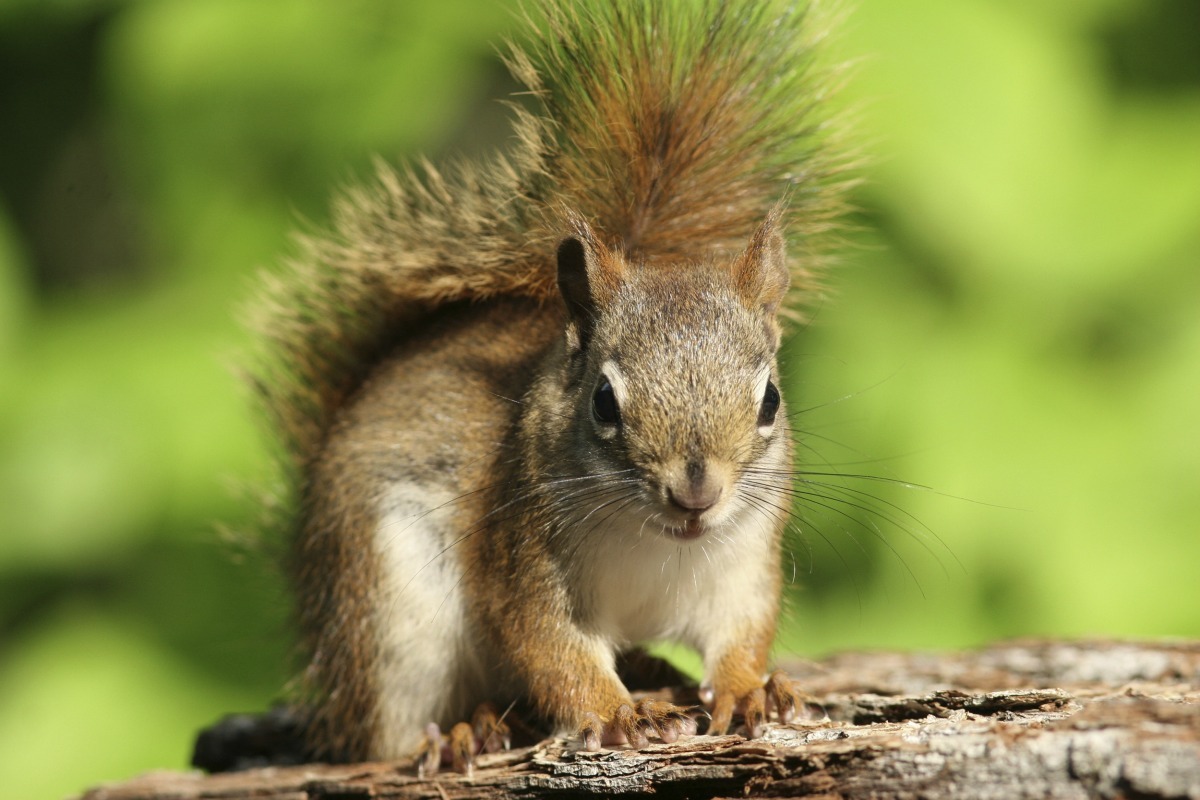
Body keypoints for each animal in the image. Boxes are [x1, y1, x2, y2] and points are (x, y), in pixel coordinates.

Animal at [246, 0, 849, 771]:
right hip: (388, 610)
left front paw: (750, 690)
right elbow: (548, 647)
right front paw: (618, 714)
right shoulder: (522, 552)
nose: (696, 494)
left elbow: (743, 632)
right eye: (603, 401)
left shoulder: (742, 564)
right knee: (387, 734)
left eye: (770, 399)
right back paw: (464, 731)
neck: (657, 543)